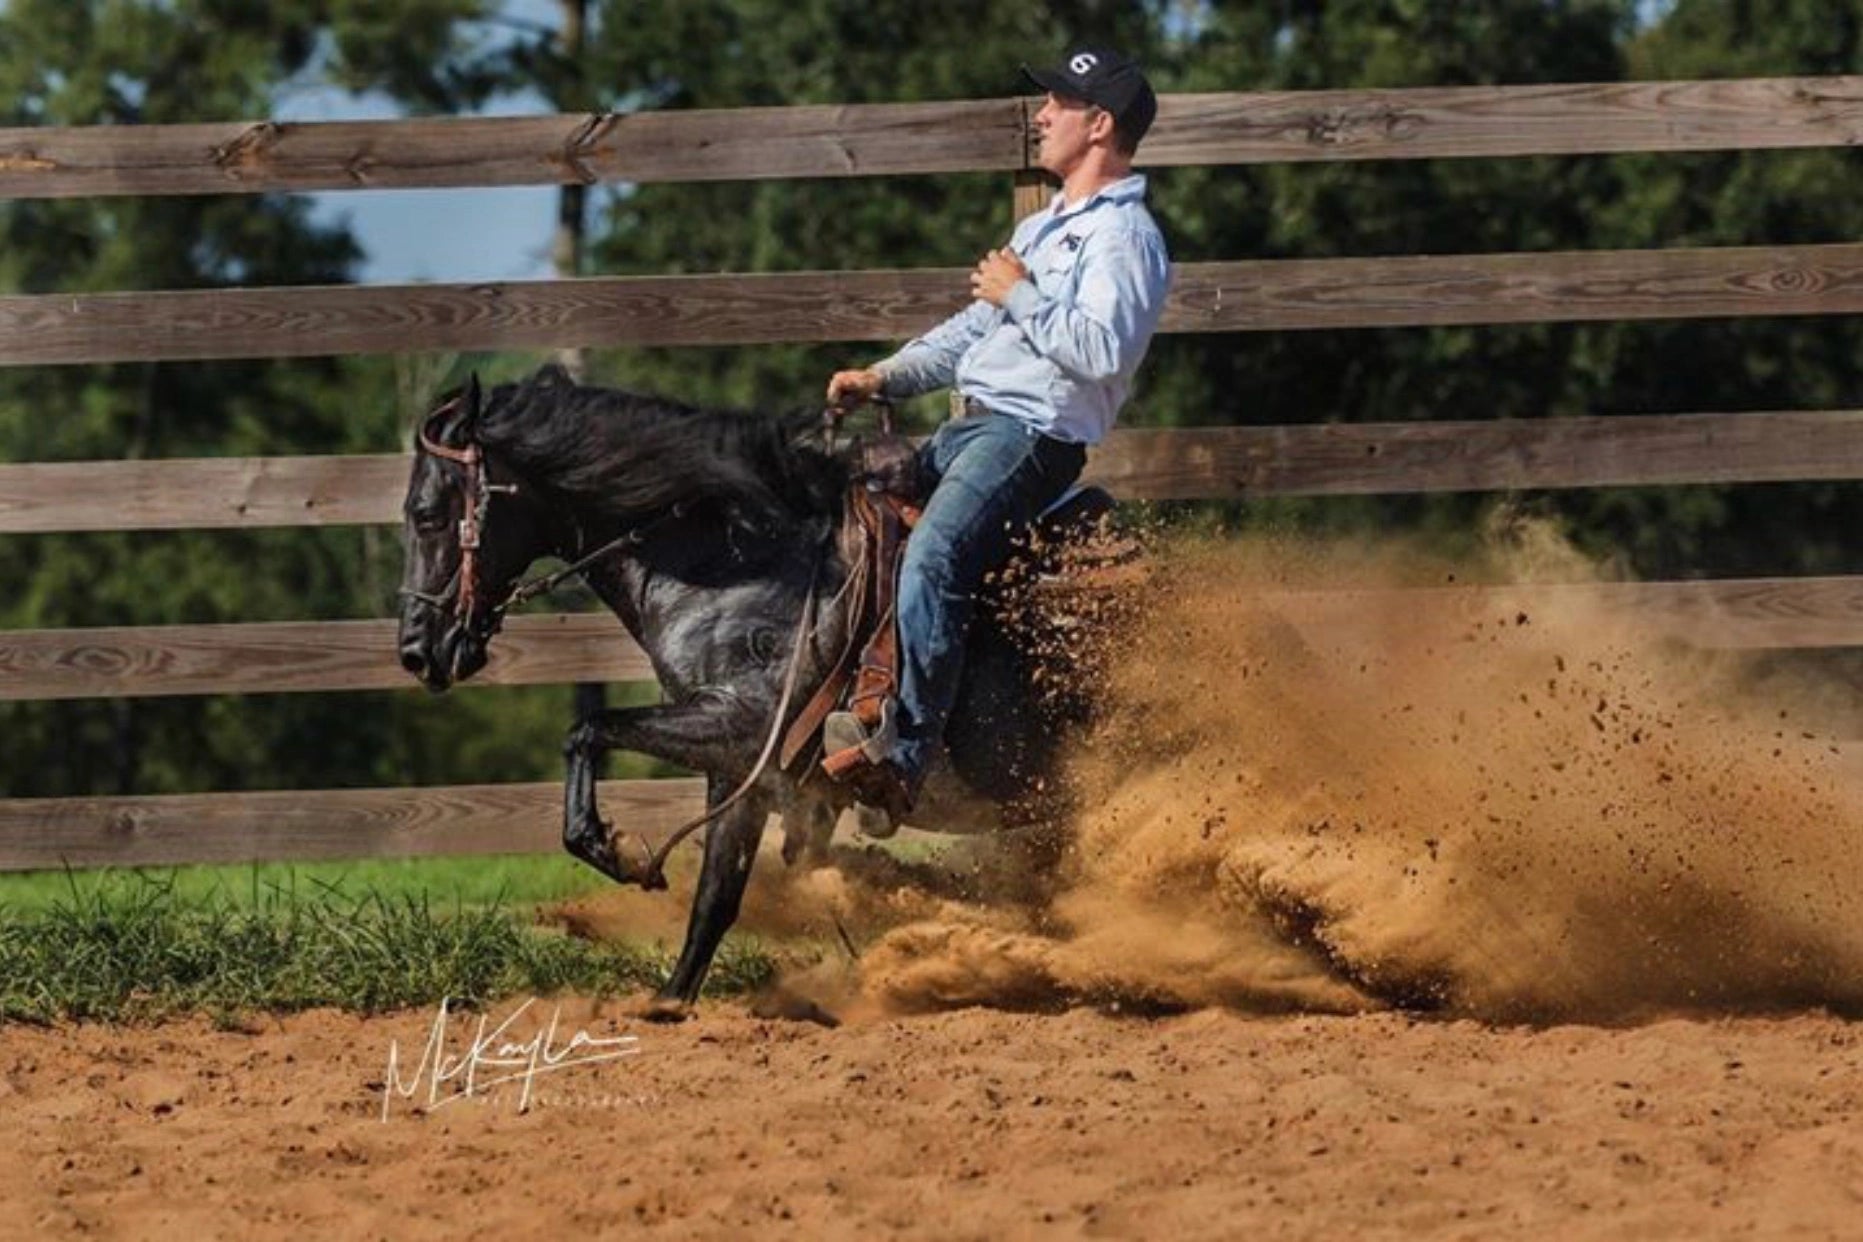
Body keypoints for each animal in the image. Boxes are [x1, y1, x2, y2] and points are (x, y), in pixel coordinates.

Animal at [396, 364, 1116, 1015]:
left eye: (426, 515)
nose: (415, 650)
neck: (739, 564)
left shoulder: (743, 725)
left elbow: (587, 731)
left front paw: (620, 853)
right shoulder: (743, 768)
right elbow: (719, 888)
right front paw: (669, 1001)